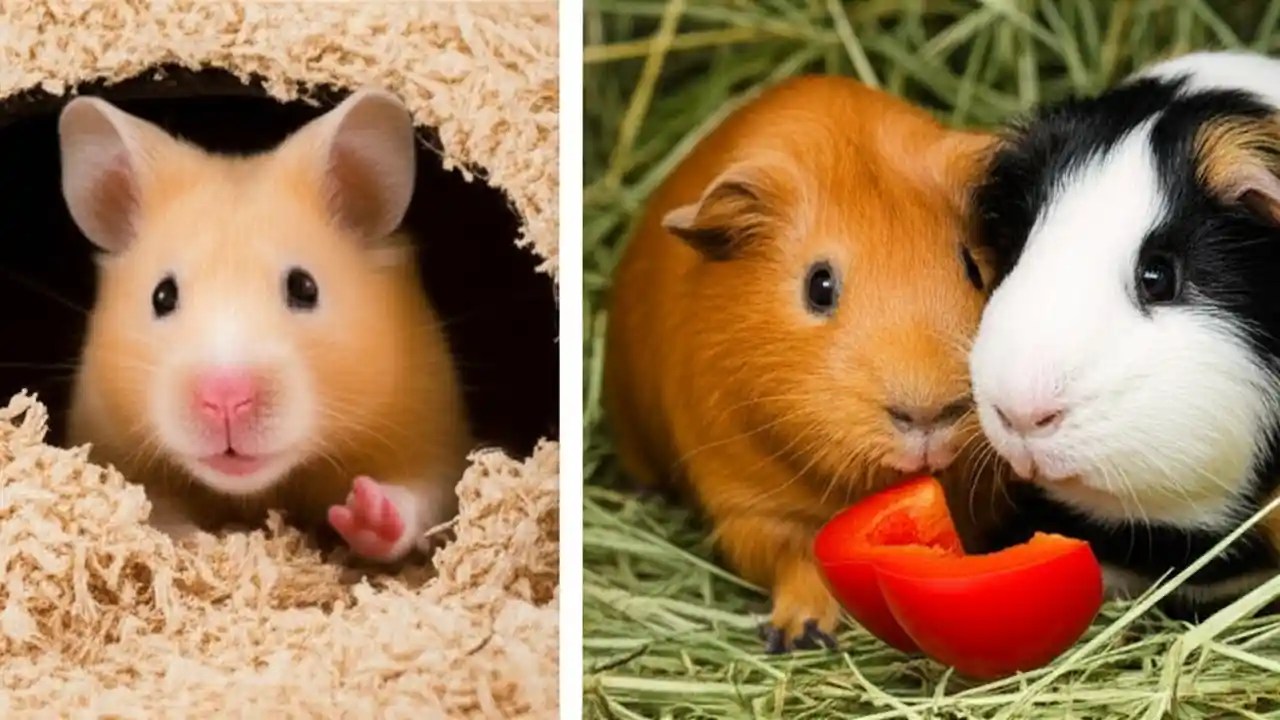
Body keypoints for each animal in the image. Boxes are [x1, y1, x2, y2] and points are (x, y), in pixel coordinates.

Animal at [58, 89, 473, 564]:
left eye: (305, 287)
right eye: (162, 296)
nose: (225, 398)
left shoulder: (431, 430)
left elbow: (421, 495)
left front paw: (363, 508)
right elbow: (152, 504)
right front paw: (194, 538)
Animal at [603, 75, 998, 652]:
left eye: (972, 267)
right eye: (819, 285)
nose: (927, 415)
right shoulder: (749, 508)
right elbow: (794, 557)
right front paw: (802, 633)